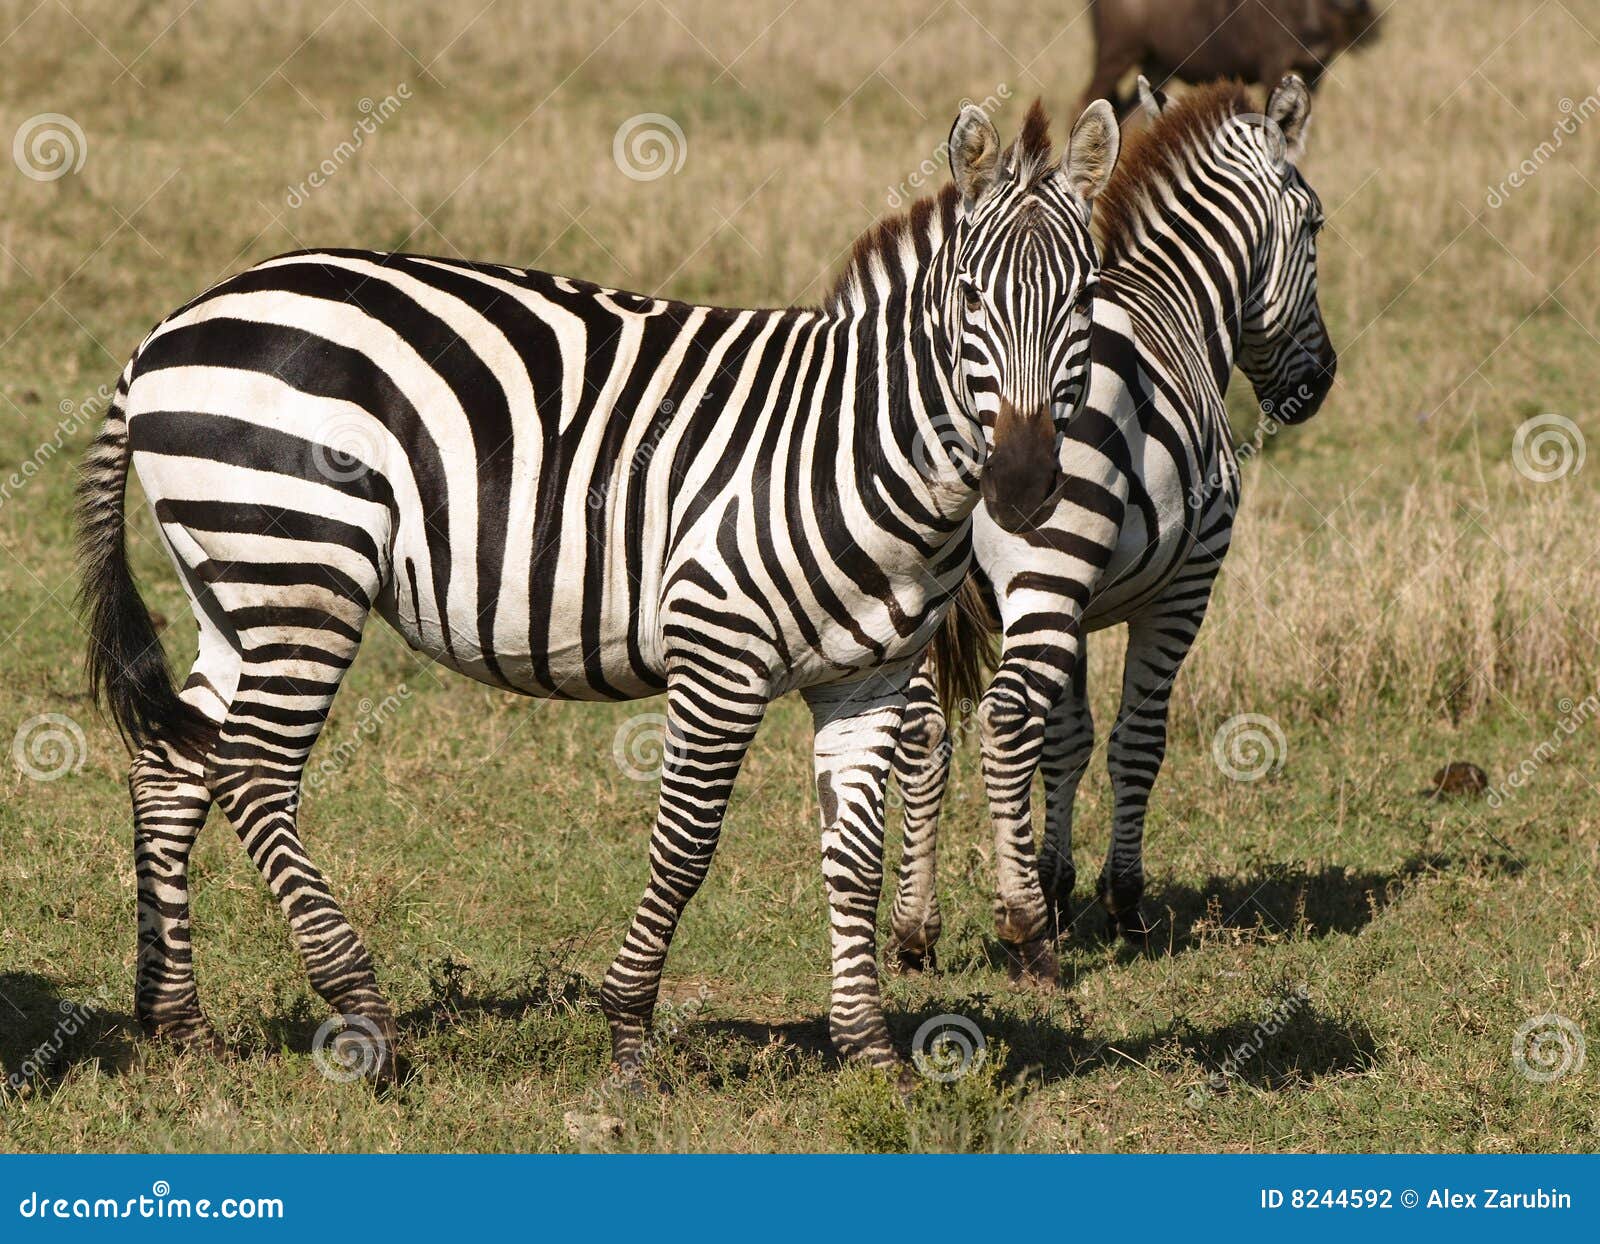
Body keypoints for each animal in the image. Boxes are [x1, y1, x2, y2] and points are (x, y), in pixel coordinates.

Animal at [76, 99, 1120, 1082]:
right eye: (970, 297)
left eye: (1085, 300)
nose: (1022, 486)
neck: (852, 443)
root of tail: (166, 332)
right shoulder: (719, 652)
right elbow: (686, 846)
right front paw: (628, 1034)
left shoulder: (868, 678)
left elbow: (853, 862)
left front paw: (869, 1054)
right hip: (302, 574)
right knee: (251, 772)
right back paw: (363, 1017)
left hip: (238, 586)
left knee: (171, 767)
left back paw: (178, 1025)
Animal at [886, 75, 1337, 979]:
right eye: (1314, 225)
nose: (1322, 382)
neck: (1181, 301)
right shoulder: (1185, 585)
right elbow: (1137, 738)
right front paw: (1119, 902)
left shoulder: (1077, 605)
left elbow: (1069, 736)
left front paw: (1057, 883)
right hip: (1053, 563)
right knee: (1004, 719)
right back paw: (1023, 933)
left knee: (925, 728)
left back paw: (917, 931)